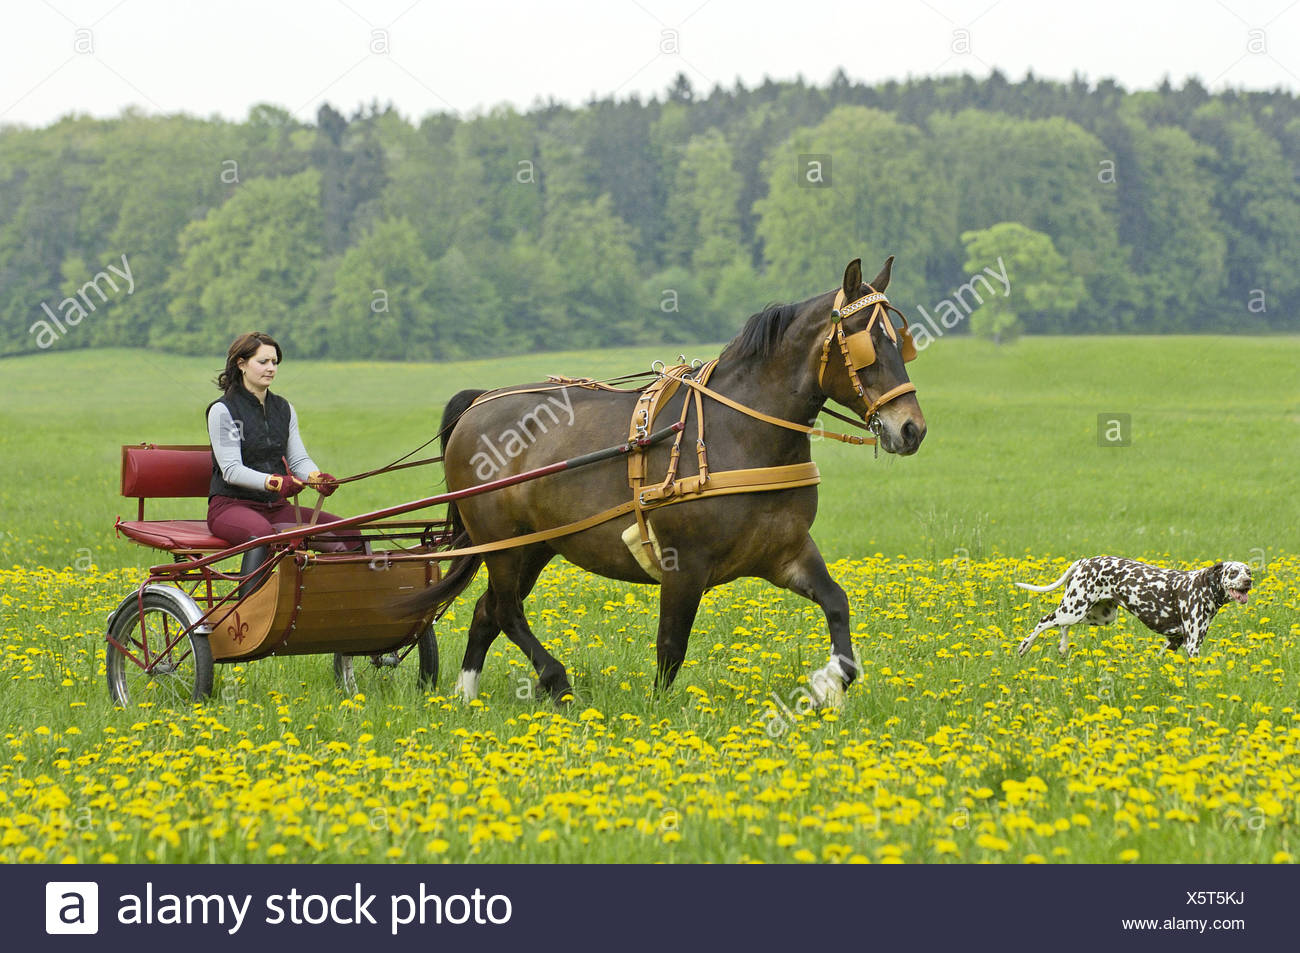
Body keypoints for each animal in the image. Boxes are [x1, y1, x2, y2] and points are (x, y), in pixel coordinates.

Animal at [401, 257, 926, 705]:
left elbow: (837, 603)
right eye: (865, 343)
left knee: (487, 612)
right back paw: (555, 680)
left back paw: (464, 697)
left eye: (899, 341)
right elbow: (671, 646)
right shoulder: (683, 565)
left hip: (534, 547)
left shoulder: (786, 552)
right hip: (504, 545)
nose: (911, 429)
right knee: (507, 610)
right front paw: (658, 711)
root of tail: (479, 402)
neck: (739, 432)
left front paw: (829, 683)